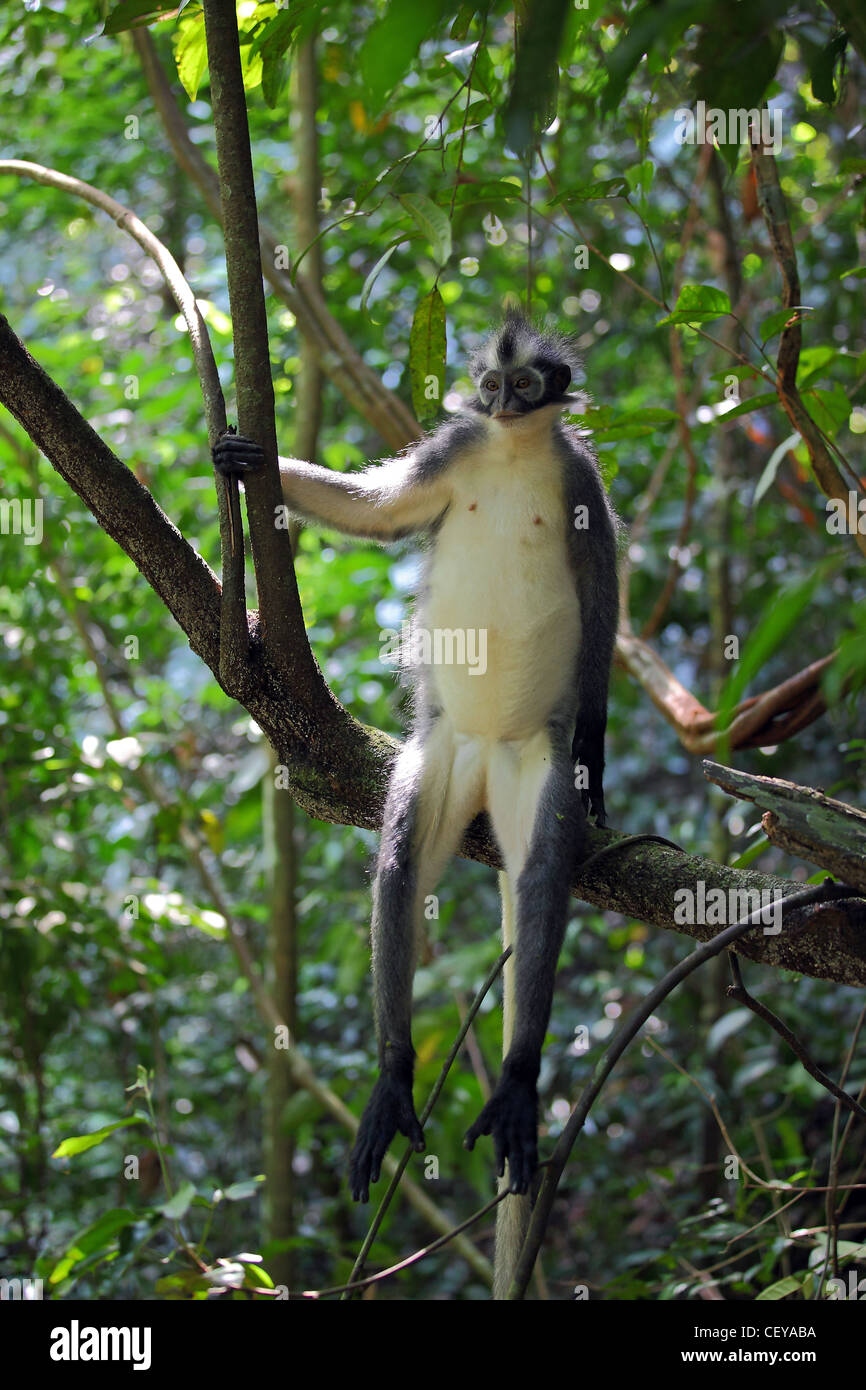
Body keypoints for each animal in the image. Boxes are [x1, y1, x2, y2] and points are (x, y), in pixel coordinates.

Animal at [213, 311, 619, 1296]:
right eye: (491, 384)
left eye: (525, 388)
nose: (495, 402)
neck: (512, 451)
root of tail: (486, 762)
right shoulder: (456, 449)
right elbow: (381, 509)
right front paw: (246, 461)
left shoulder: (580, 480)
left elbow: (604, 597)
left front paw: (598, 749)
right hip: (438, 755)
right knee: (397, 869)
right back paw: (393, 1076)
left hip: (529, 767)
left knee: (542, 873)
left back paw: (517, 1078)